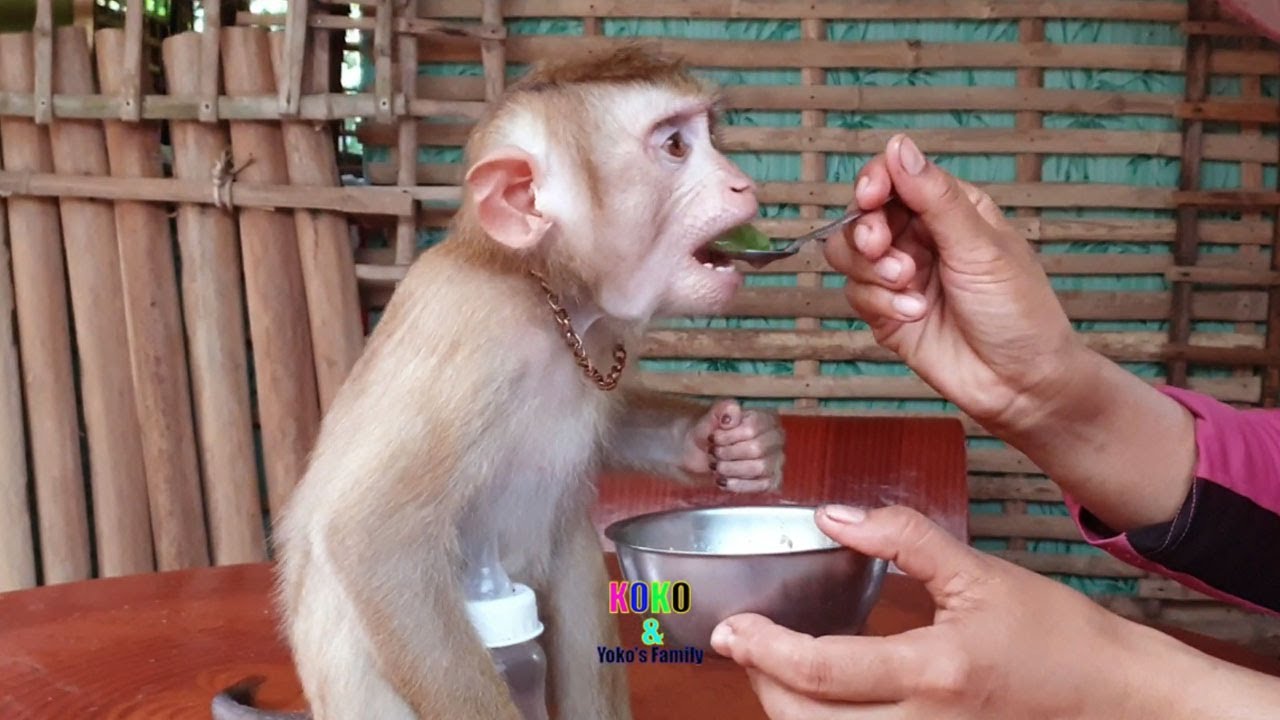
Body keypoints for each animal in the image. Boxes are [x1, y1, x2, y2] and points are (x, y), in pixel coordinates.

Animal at [211, 43, 785, 720]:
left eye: (709, 136)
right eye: (675, 146)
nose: (743, 183)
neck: (539, 289)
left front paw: (730, 443)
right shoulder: (475, 330)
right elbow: (371, 537)